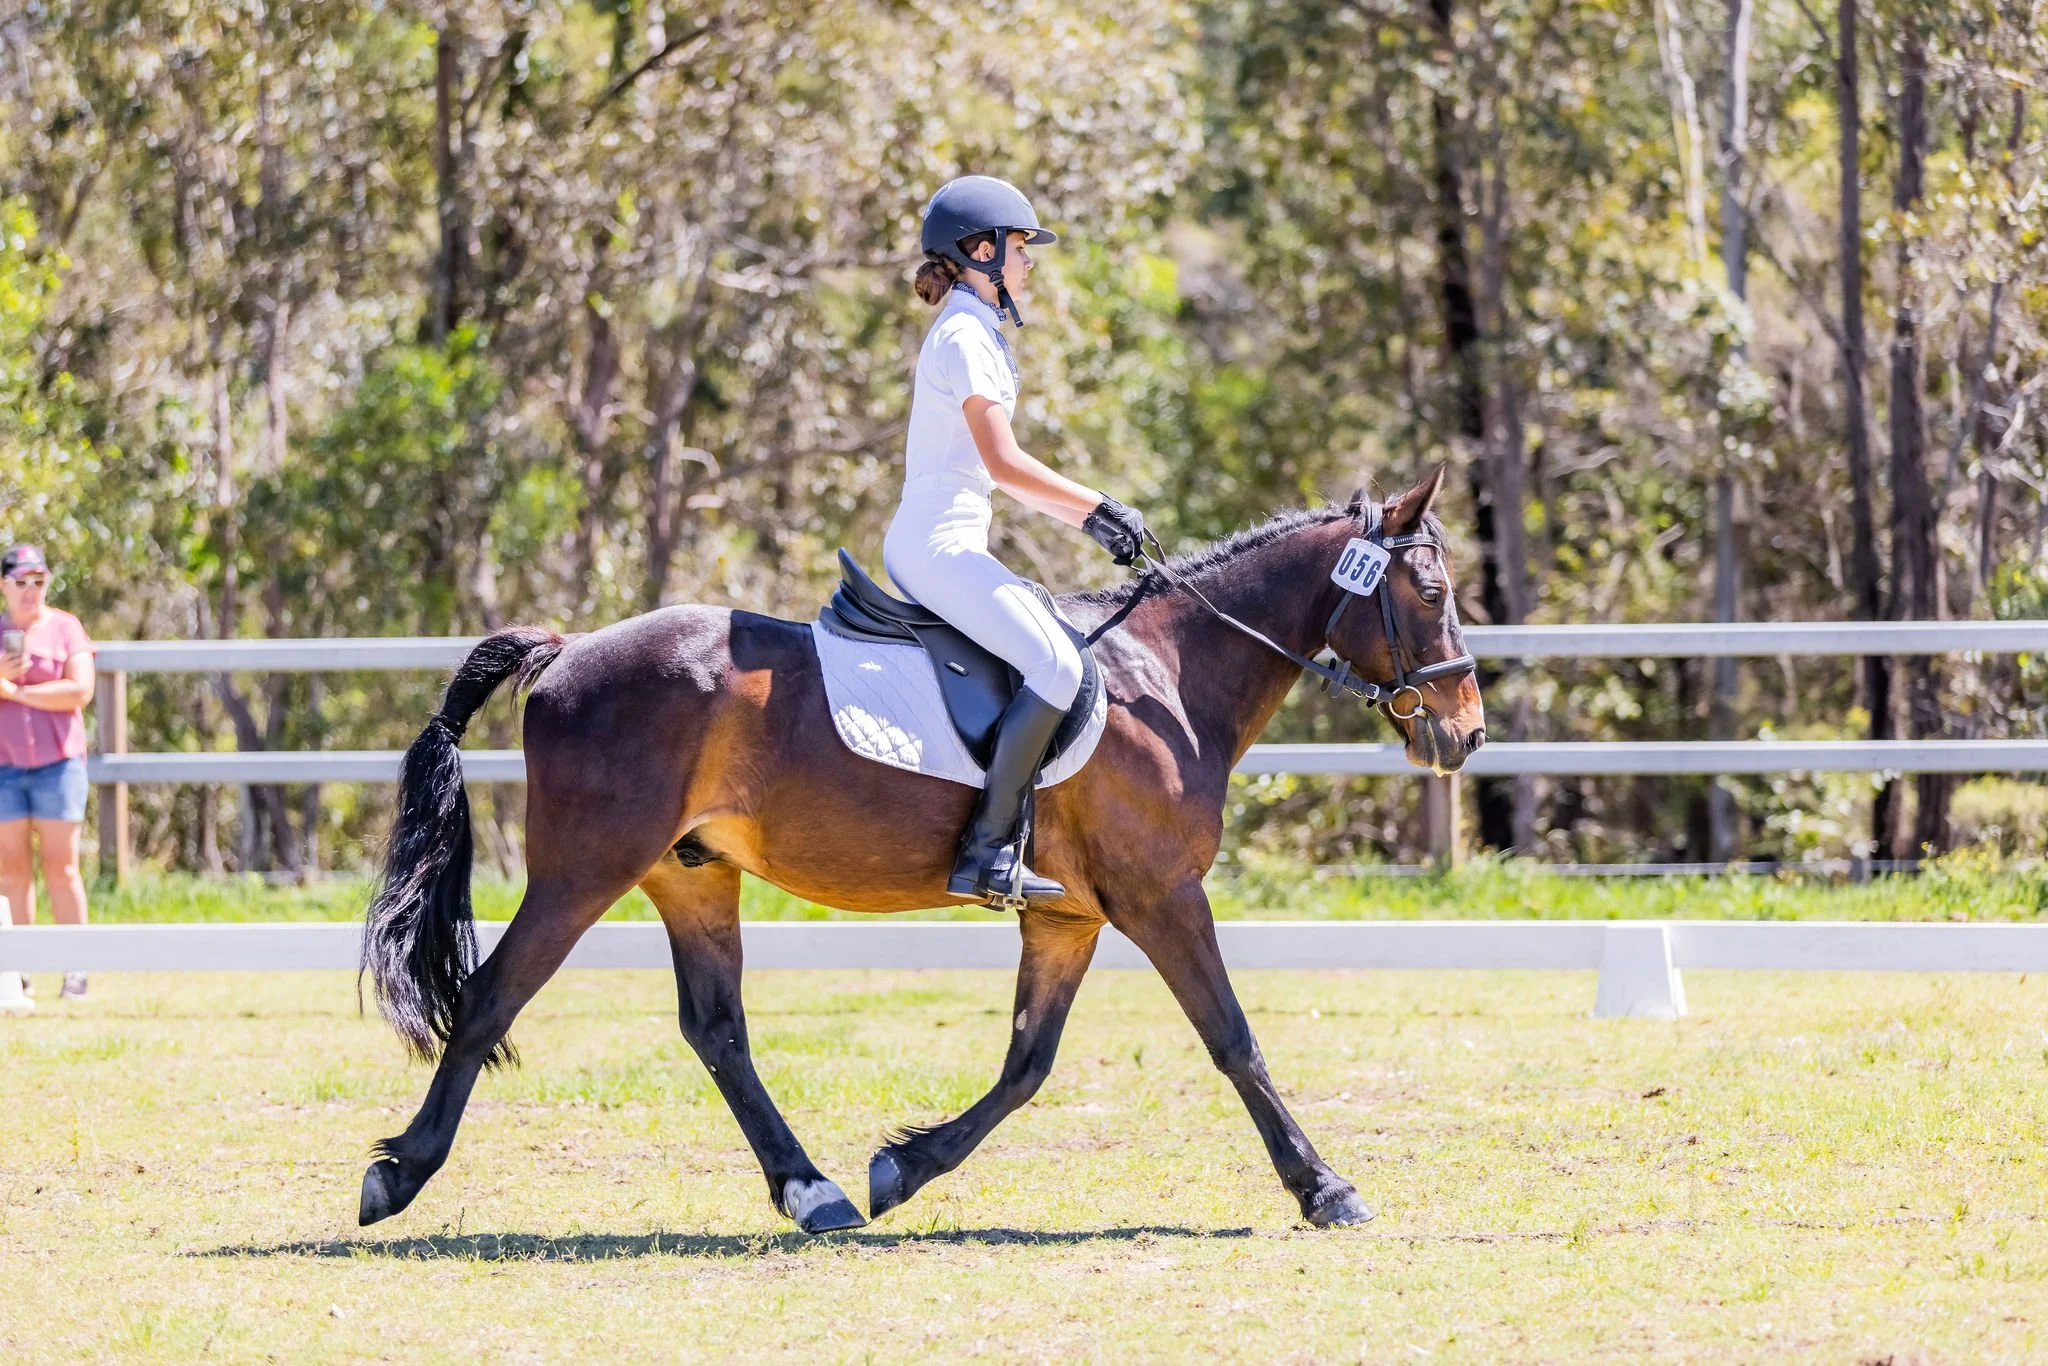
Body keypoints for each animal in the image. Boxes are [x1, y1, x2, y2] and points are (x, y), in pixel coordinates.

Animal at [356, 468, 1487, 1234]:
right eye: (1430, 591)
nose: (1464, 733)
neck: (1165, 673)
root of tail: (565, 650)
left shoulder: (1069, 915)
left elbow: (1028, 1062)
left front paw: (903, 1167)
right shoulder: (1162, 894)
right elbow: (1233, 1039)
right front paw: (1324, 1186)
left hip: (690, 877)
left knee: (716, 1030)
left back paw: (811, 1191)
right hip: (583, 870)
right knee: (491, 998)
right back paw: (398, 1172)